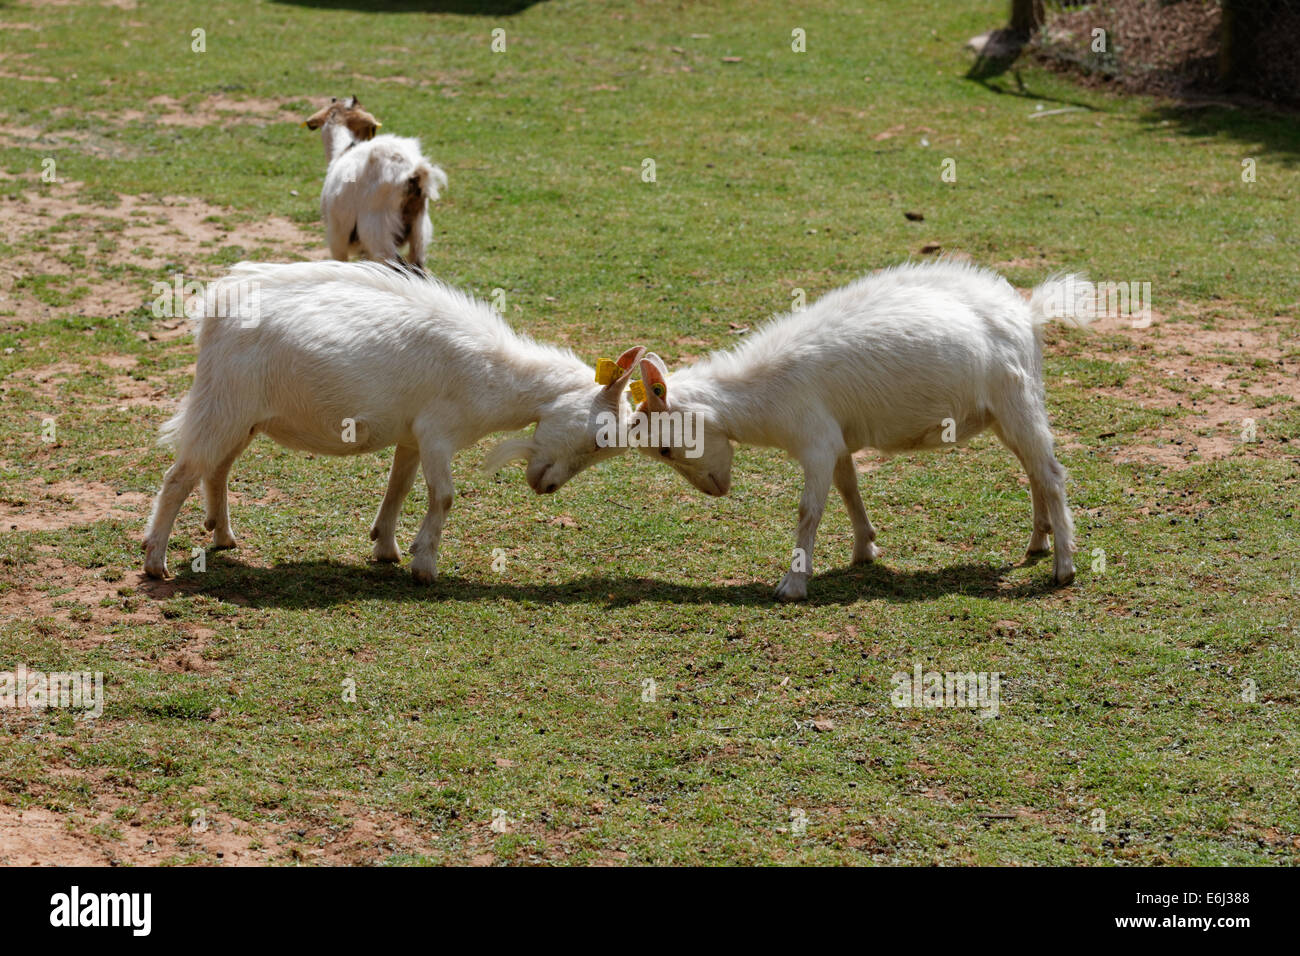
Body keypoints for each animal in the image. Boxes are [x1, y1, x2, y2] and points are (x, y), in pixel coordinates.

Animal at [142, 260, 643, 582]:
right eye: (598, 437)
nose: (546, 487)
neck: (496, 374)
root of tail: (215, 309)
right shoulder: (438, 434)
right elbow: (444, 496)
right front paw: (425, 566)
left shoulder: (413, 436)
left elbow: (398, 487)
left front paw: (385, 546)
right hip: (223, 406)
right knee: (179, 476)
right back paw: (155, 561)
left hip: (241, 418)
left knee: (217, 470)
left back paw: (223, 535)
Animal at [631, 259, 1093, 601]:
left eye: (666, 449)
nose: (716, 491)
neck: (764, 389)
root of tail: (1027, 314)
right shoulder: (837, 442)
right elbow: (849, 489)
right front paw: (864, 549)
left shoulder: (816, 442)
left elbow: (808, 510)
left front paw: (792, 584)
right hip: (1006, 413)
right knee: (1034, 470)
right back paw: (1038, 542)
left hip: (1017, 399)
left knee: (1051, 474)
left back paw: (1063, 567)